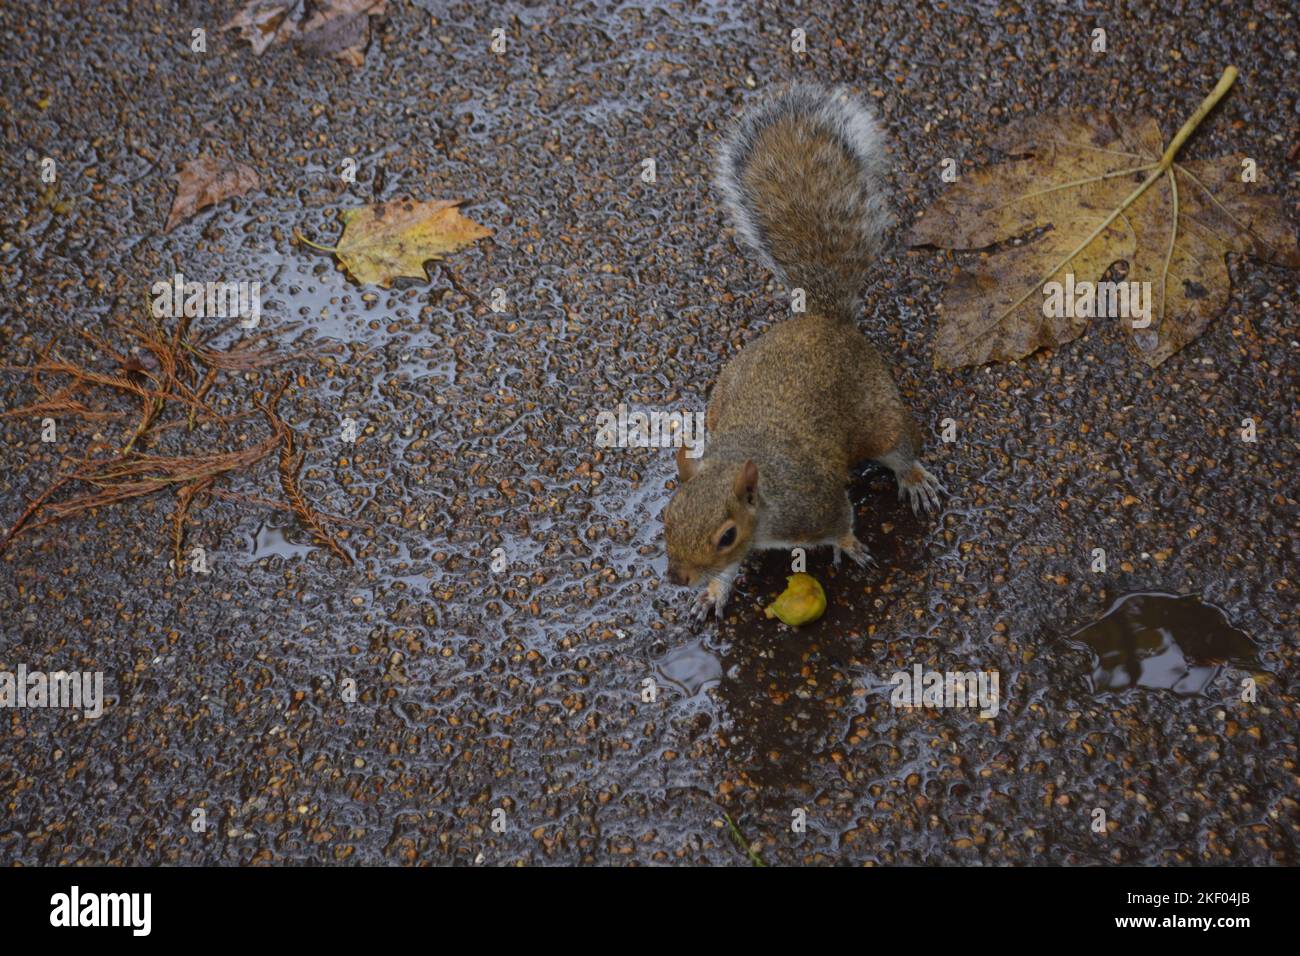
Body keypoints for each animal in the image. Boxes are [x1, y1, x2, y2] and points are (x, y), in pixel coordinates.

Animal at [664, 82, 944, 621]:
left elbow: (842, 521)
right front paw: (713, 592)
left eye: (726, 534)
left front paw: (851, 547)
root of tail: (825, 321)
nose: (677, 579)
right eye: (667, 515)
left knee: (900, 445)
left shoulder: (816, 503)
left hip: (880, 414)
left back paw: (914, 477)